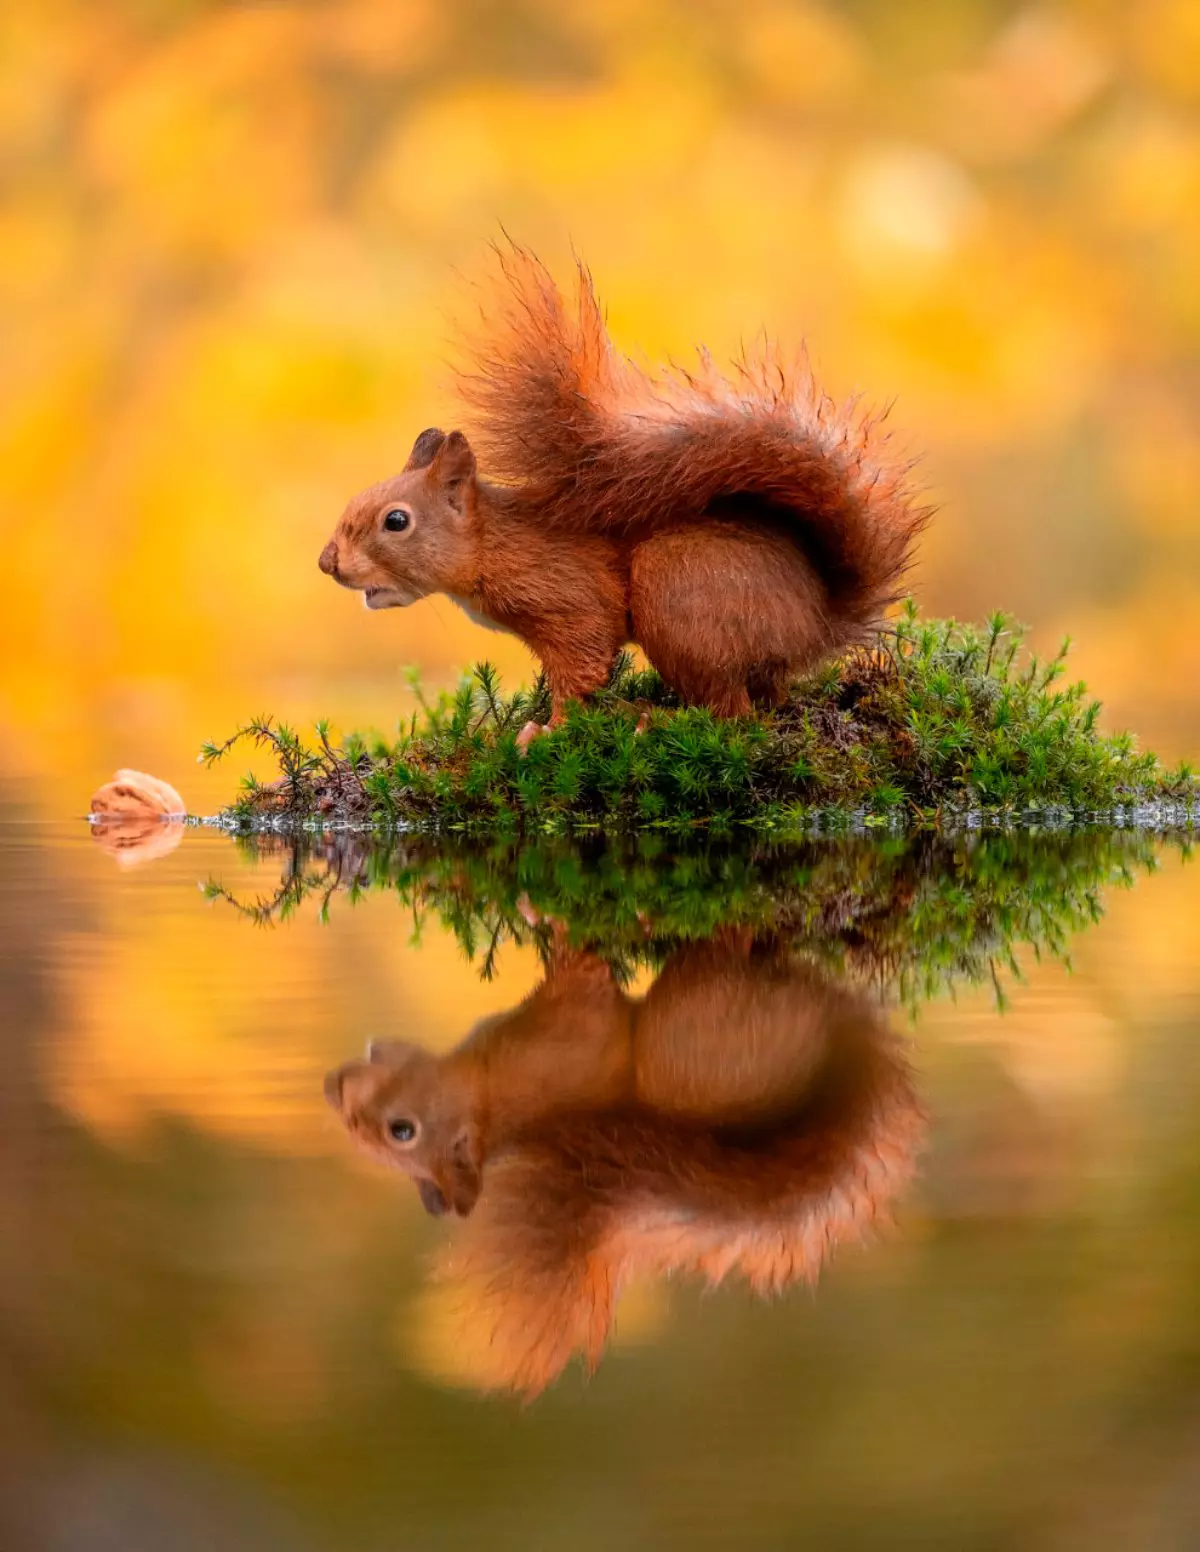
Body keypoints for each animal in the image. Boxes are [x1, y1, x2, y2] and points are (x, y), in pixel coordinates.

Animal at [318, 245, 925, 729]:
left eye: (396, 521)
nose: (328, 563)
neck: (493, 542)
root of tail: (819, 622)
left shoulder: (568, 598)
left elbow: (583, 663)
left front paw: (546, 731)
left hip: (679, 593)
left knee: (730, 714)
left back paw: (653, 718)